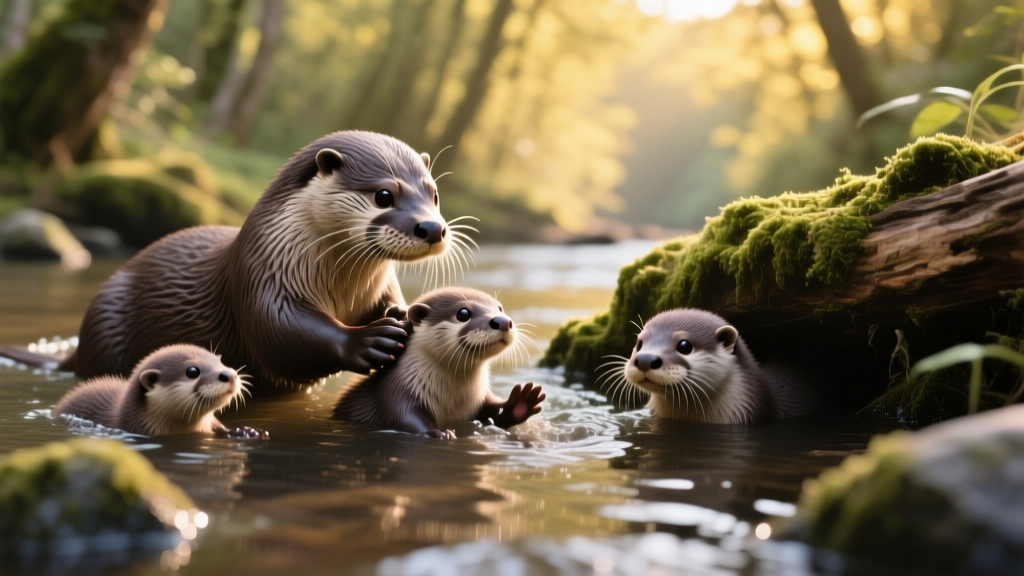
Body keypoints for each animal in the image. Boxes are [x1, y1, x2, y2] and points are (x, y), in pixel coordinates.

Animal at [1, 131, 473, 395]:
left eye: (433, 194)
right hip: (106, 323)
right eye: (384, 195)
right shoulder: (260, 279)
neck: (340, 289)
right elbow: (280, 334)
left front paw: (402, 315)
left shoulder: (379, 287)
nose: (432, 228)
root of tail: (80, 345)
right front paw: (368, 340)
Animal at [332, 287, 545, 439]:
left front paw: (522, 402)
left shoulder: (478, 400)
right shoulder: (397, 391)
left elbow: (495, 412)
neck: (452, 400)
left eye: (499, 308)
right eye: (463, 313)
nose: (502, 321)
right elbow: (404, 417)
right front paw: (439, 433)